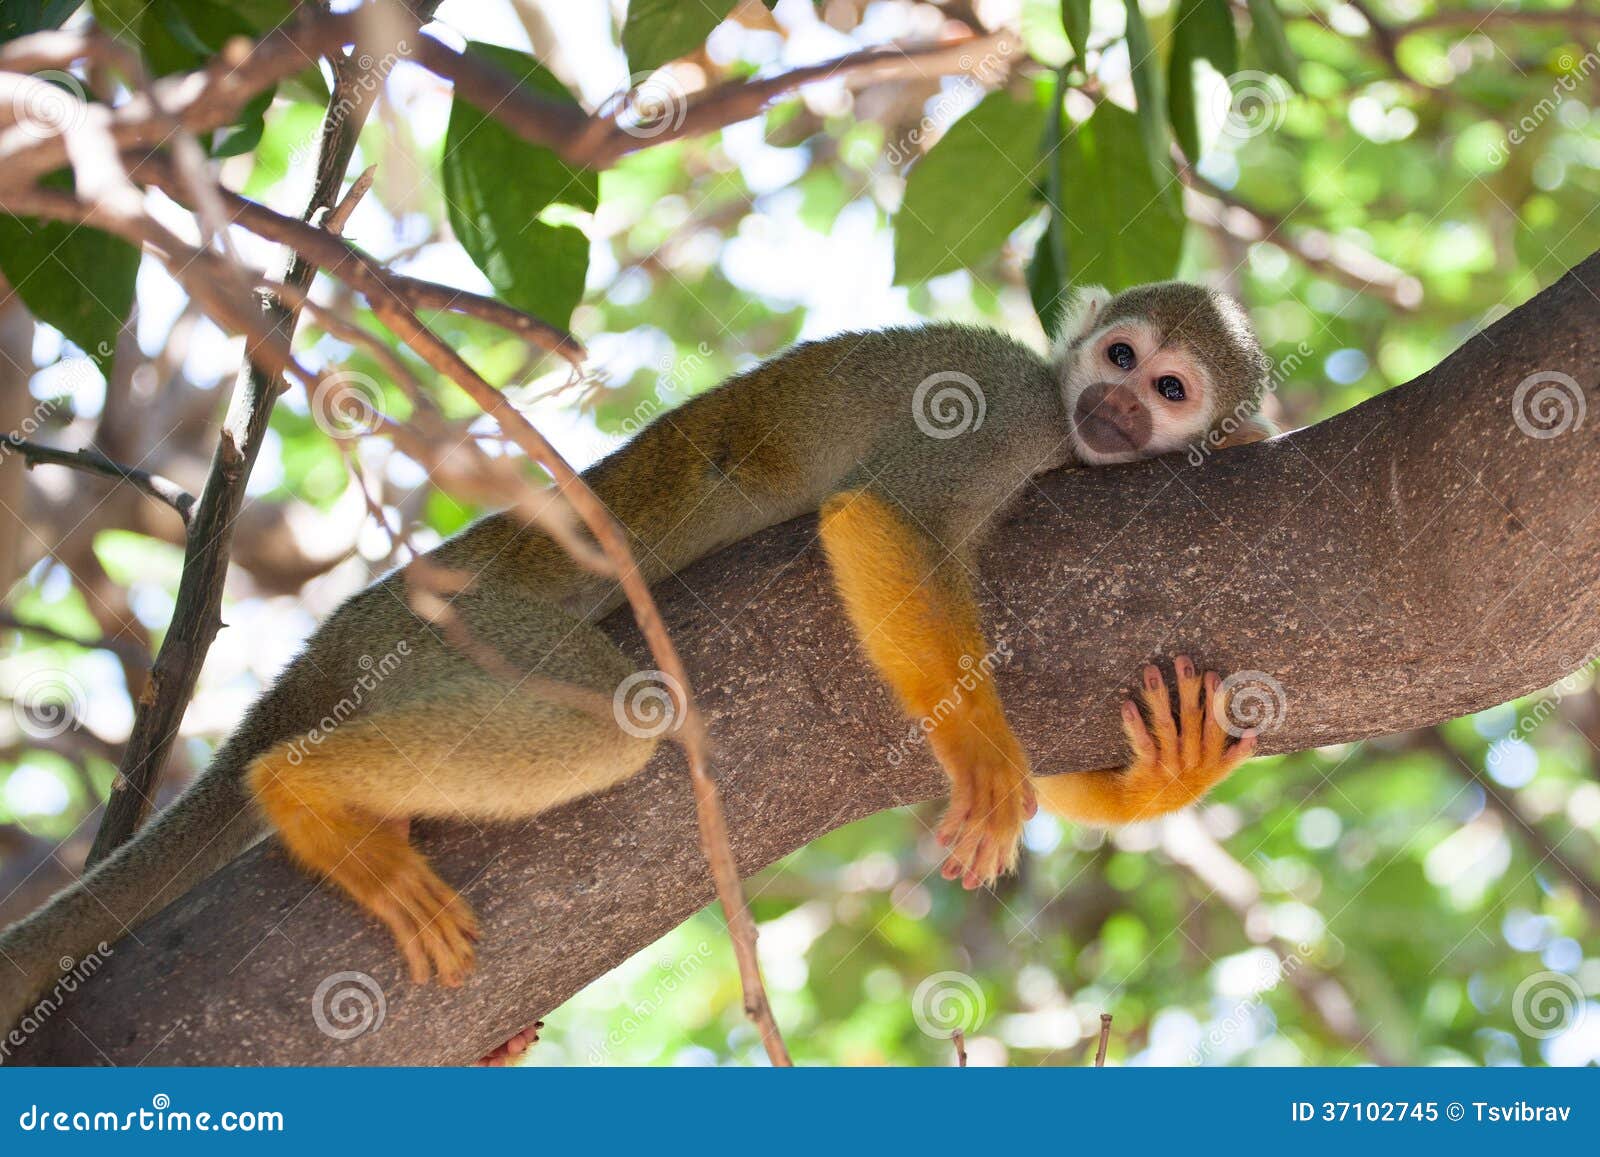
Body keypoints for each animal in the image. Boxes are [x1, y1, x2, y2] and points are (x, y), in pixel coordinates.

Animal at [0, 280, 1275, 1022]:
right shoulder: (1010, 411)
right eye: (1117, 359)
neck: (1065, 433)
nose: (1117, 409)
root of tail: (342, 628)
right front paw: (982, 752)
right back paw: (303, 792)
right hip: (449, 630)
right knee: (611, 720)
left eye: (1169, 387)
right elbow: (881, 519)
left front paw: (1160, 769)